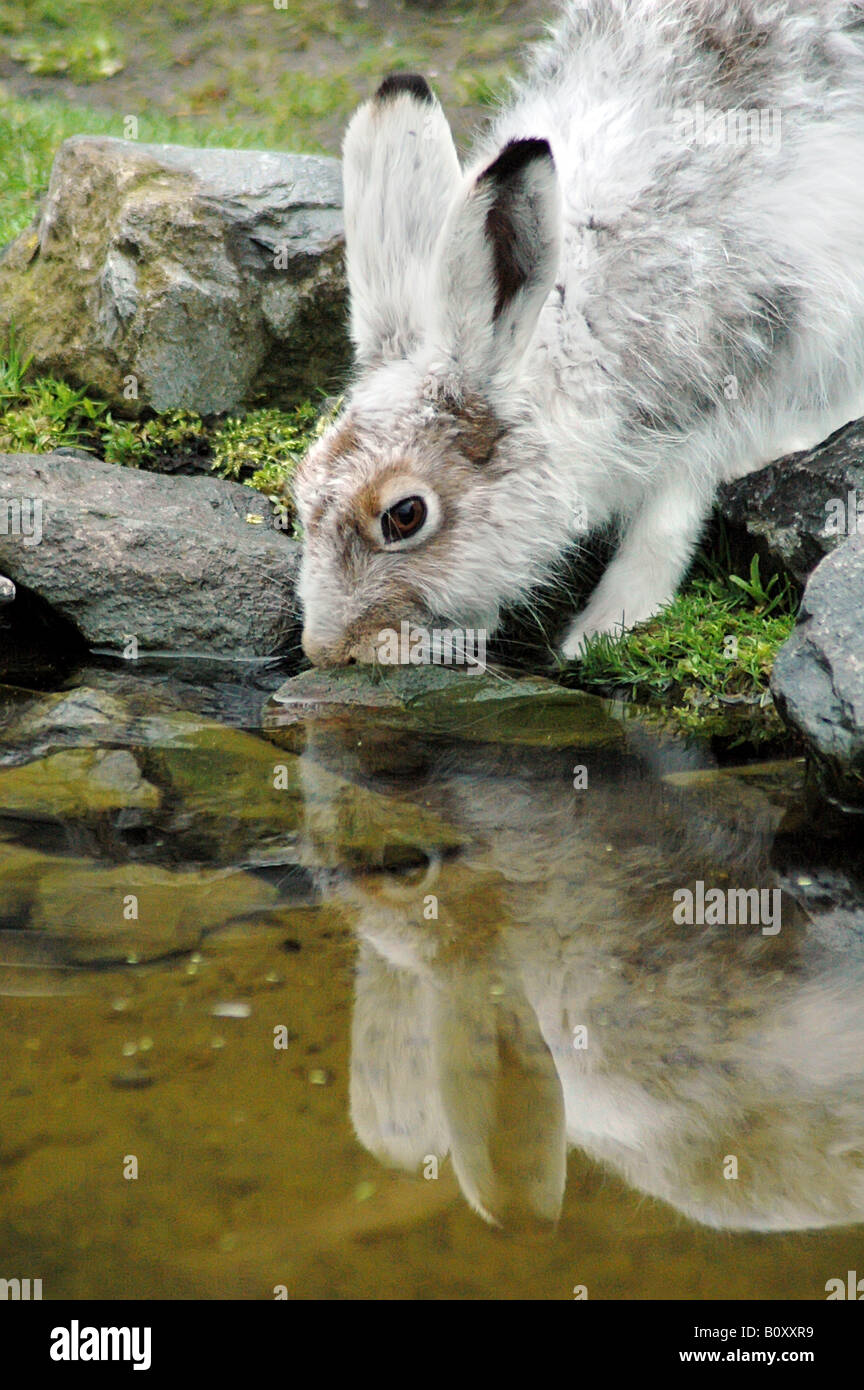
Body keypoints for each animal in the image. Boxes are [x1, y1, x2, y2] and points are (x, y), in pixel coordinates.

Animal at [293, 0, 864, 665]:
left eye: (405, 515)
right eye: (302, 485)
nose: (327, 650)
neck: (567, 332)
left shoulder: (739, 357)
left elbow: (672, 507)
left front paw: (603, 626)